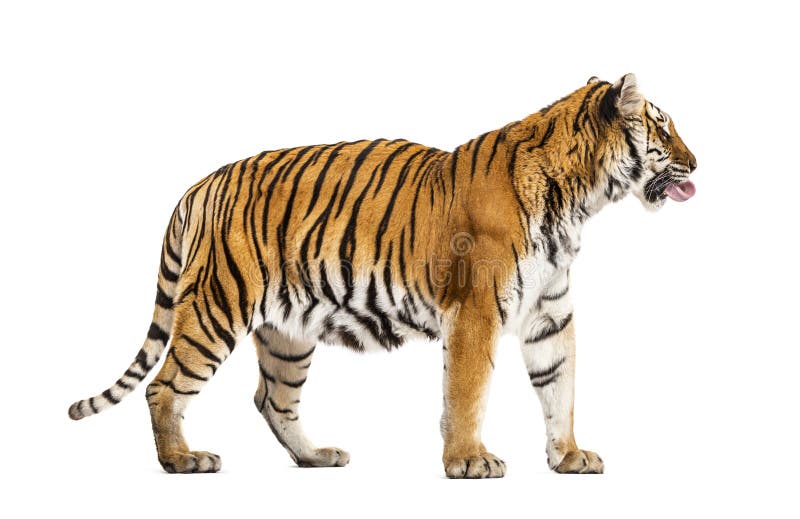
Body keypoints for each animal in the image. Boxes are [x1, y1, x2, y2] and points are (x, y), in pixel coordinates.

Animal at [68, 73, 697, 478]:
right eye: (663, 129)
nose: (696, 162)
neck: (580, 200)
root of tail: (200, 185)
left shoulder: (549, 315)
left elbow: (559, 388)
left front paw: (568, 456)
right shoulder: (476, 310)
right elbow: (467, 391)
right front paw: (469, 460)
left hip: (288, 332)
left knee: (273, 398)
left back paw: (315, 457)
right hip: (217, 307)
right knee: (164, 386)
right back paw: (182, 460)